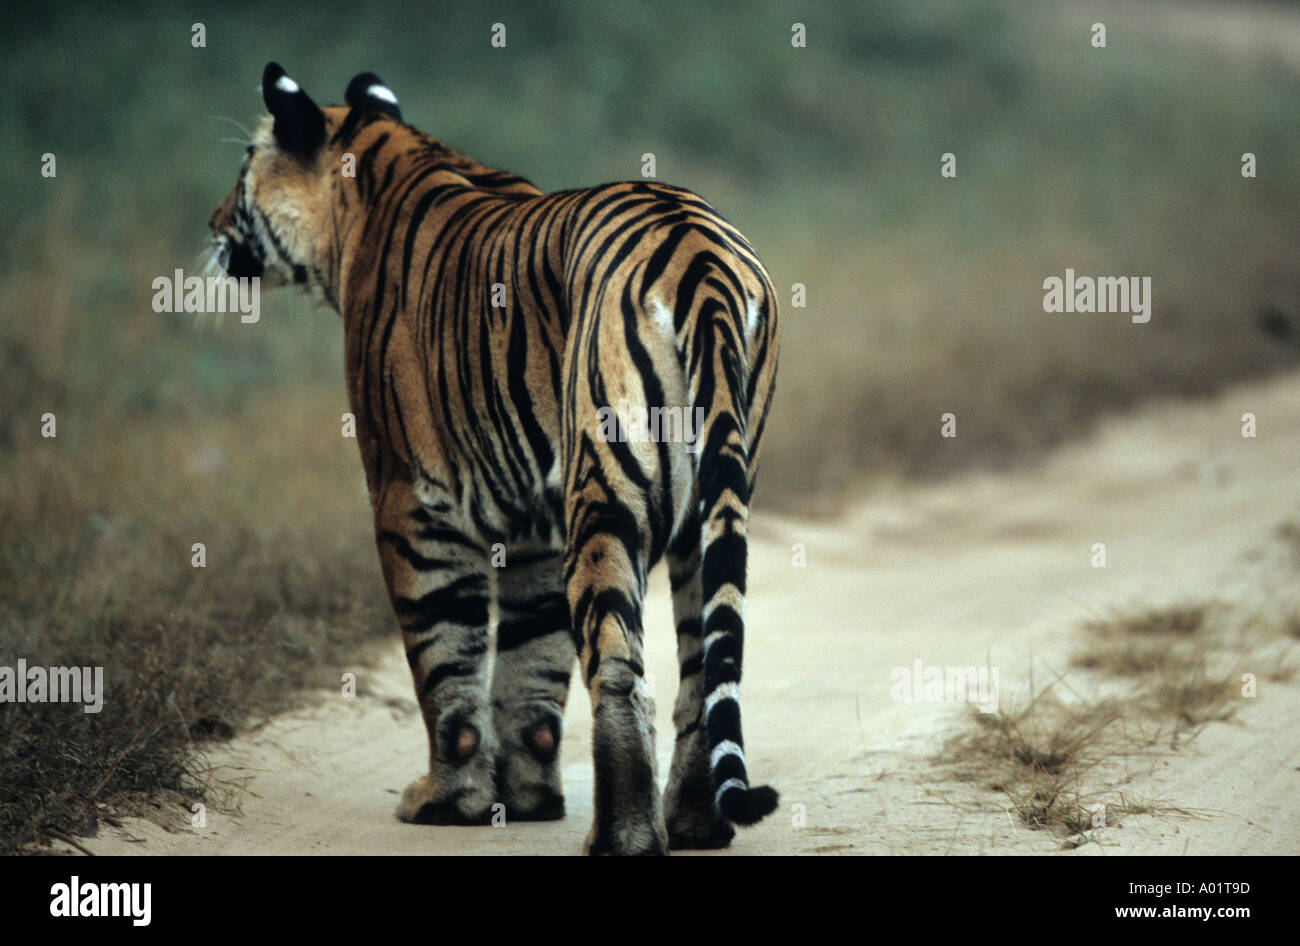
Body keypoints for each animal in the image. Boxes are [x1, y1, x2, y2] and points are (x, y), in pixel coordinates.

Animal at [208, 62, 780, 855]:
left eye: (242, 167)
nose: (211, 223)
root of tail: (699, 253)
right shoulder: (535, 524)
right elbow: (531, 664)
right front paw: (531, 800)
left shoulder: (411, 504)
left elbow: (445, 655)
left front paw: (448, 803)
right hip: (707, 507)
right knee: (700, 673)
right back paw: (694, 822)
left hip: (605, 495)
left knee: (621, 670)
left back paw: (623, 836)